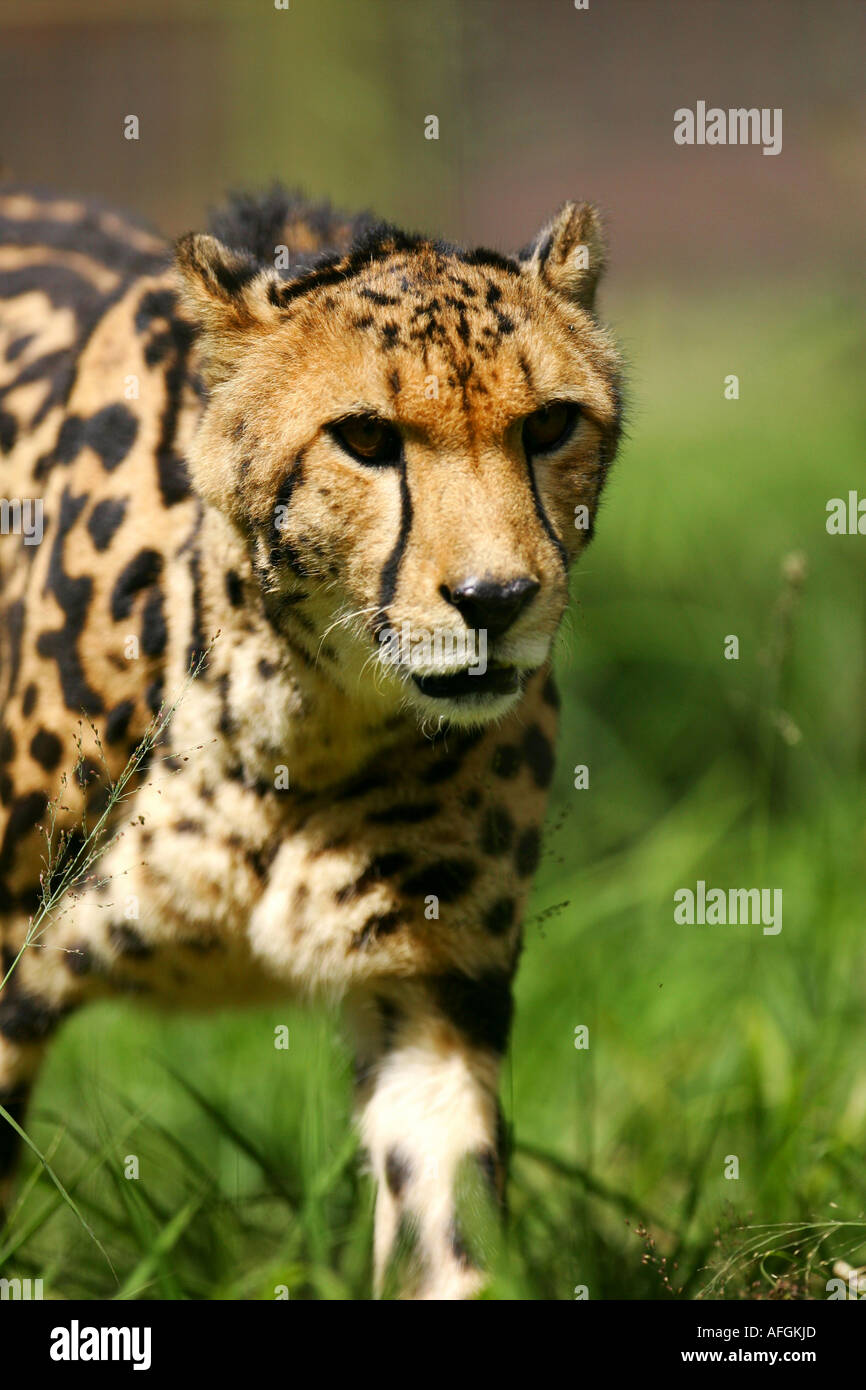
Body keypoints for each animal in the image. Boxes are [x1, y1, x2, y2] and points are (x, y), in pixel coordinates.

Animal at [0, 184, 623, 1299]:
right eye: (365, 438)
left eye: (550, 423)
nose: (495, 600)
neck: (298, 720)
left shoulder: (429, 995)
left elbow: (449, 1231)